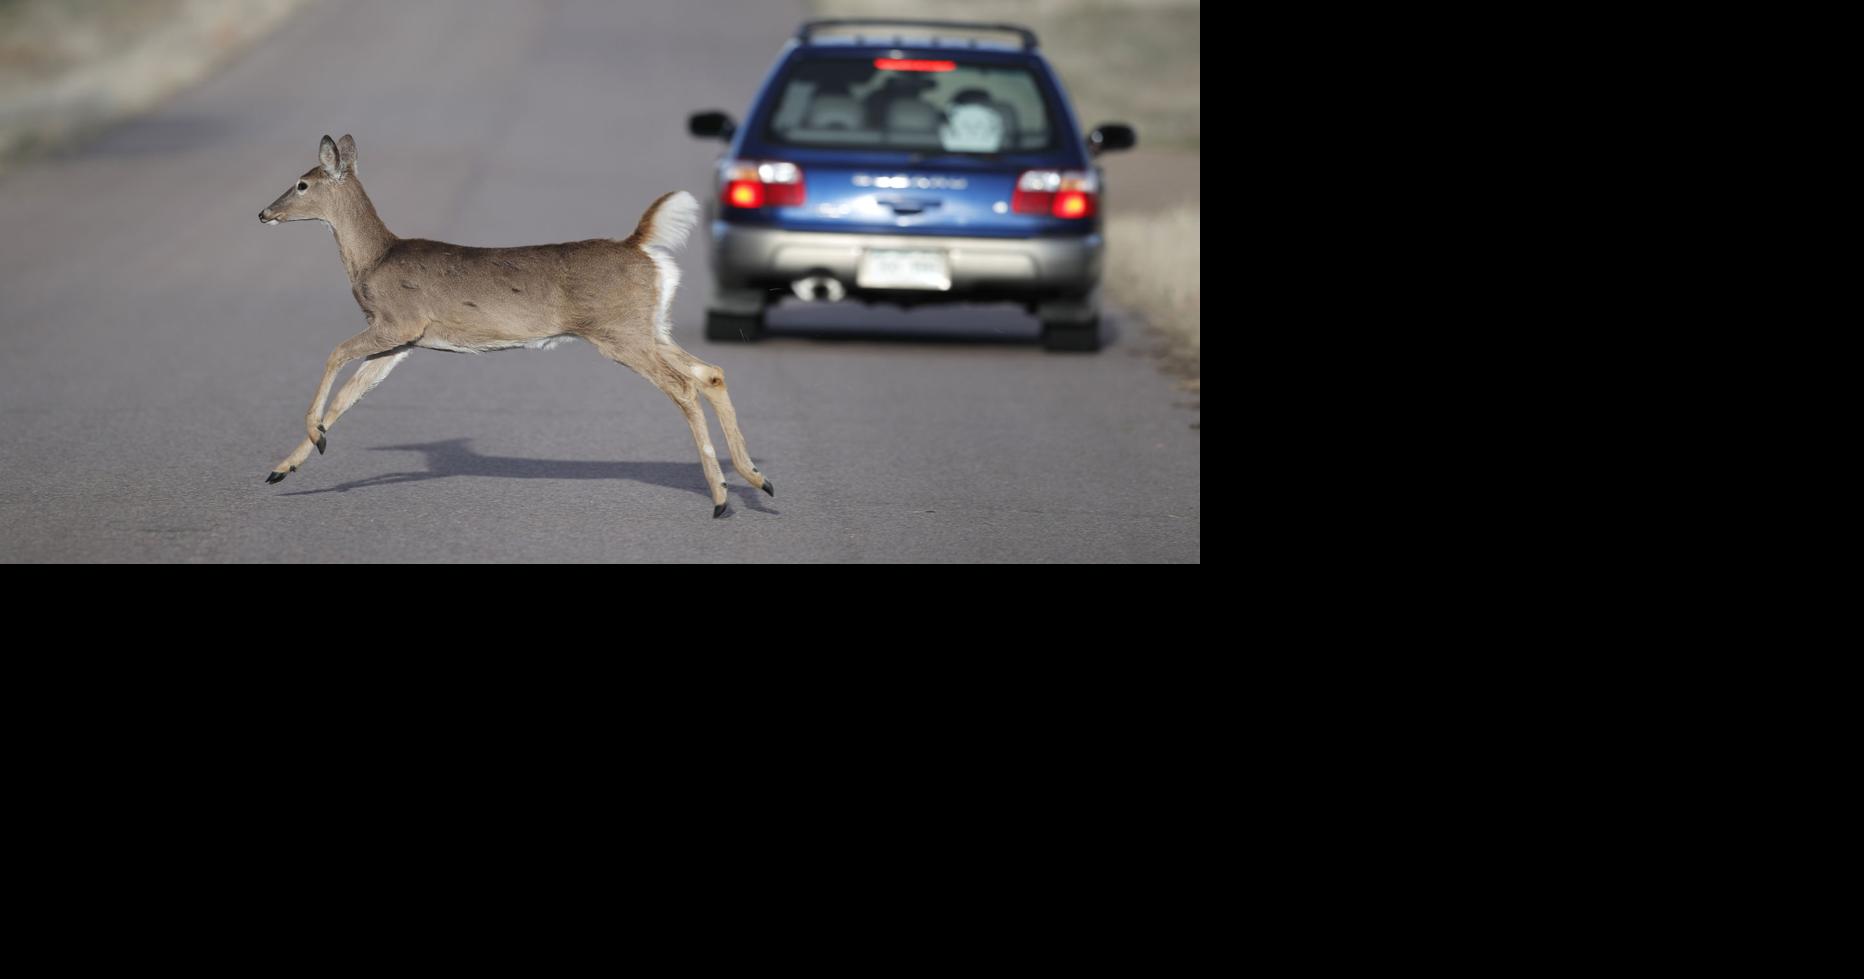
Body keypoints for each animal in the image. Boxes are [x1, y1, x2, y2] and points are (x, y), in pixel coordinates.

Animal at [256, 134, 771, 518]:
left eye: (302, 184)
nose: (264, 212)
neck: (375, 260)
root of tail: (639, 245)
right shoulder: (400, 343)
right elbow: (349, 395)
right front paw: (285, 467)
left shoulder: (397, 322)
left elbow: (334, 354)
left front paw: (313, 438)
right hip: (652, 329)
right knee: (710, 373)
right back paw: (757, 480)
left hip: (621, 334)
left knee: (683, 386)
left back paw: (721, 497)